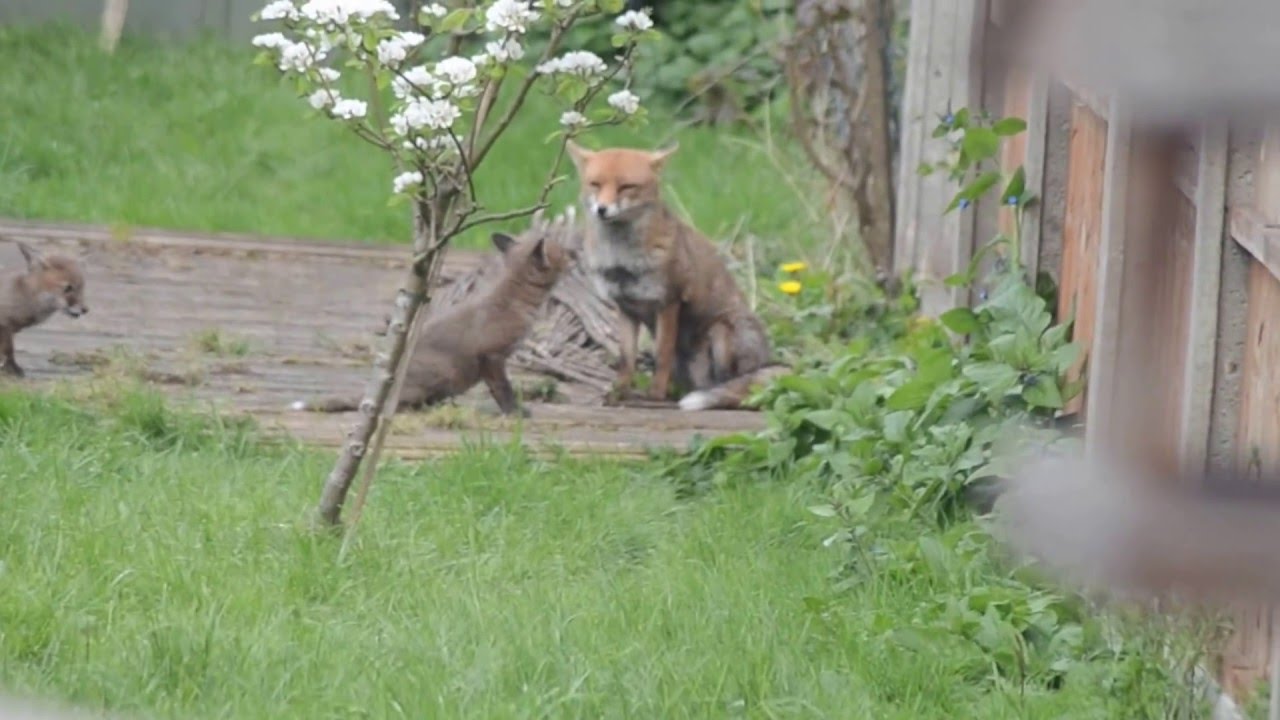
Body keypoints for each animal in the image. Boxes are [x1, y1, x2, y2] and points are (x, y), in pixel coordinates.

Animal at [0, 241, 89, 378]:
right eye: (68, 288)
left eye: (81, 287)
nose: (85, 309)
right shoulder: (5, 326)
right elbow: (9, 351)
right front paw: (13, 369)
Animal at [291, 229, 573, 416]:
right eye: (561, 251)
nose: (575, 252)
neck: (516, 299)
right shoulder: (492, 356)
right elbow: (502, 389)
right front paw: (515, 413)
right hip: (443, 373)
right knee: (400, 405)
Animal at [566, 140, 784, 411]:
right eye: (595, 184)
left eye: (626, 186)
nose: (602, 209)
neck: (623, 261)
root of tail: (766, 360)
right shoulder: (625, 308)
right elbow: (626, 359)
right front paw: (619, 393)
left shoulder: (669, 301)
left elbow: (662, 356)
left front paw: (653, 396)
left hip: (721, 333)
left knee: (733, 385)